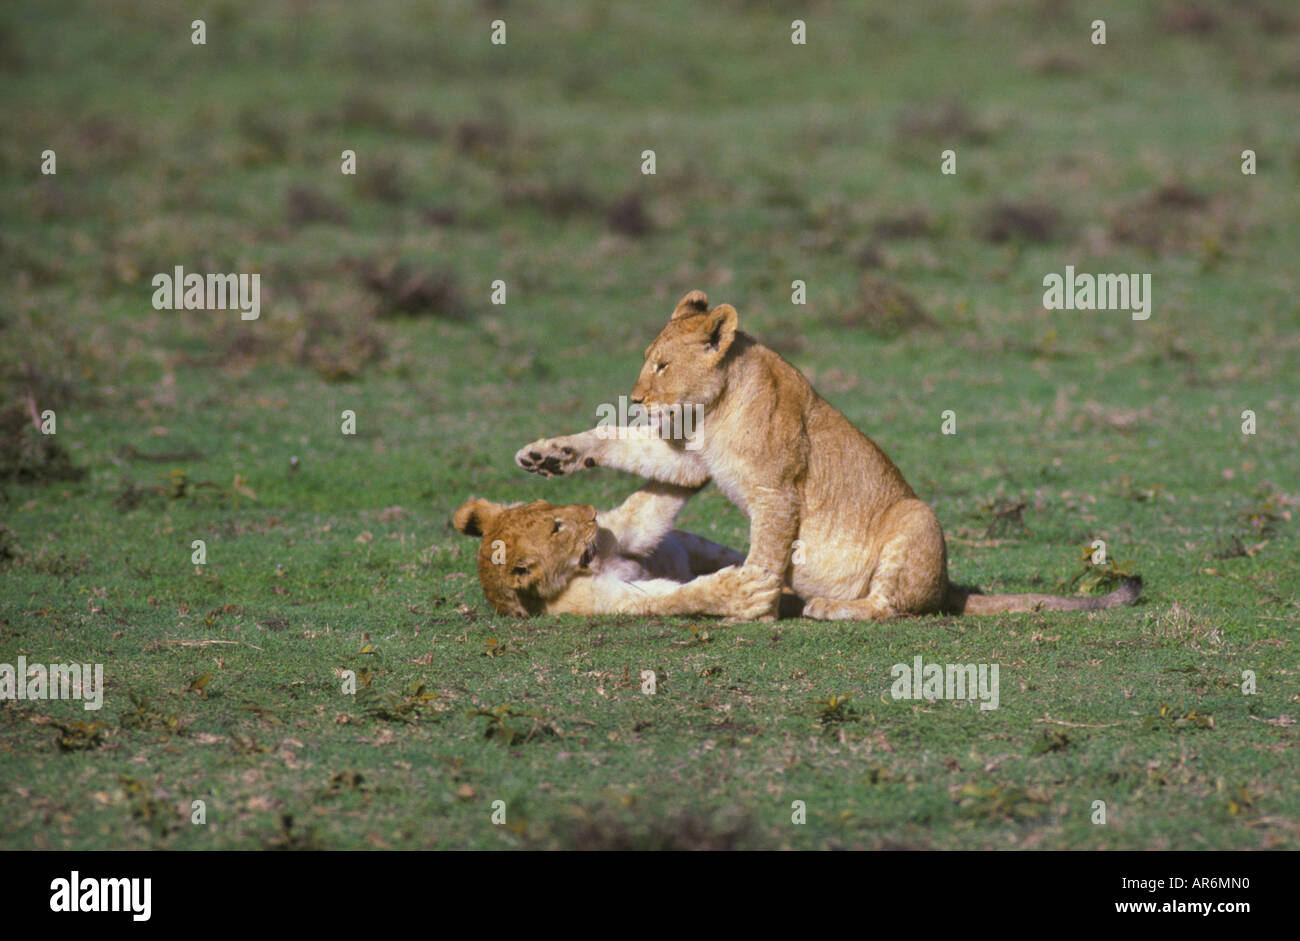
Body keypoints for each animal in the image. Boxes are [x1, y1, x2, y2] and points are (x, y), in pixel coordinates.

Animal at [452, 481, 783, 618]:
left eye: (545, 503)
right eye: (556, 527)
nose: (591, 511)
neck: (591, 563)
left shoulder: (617, 530)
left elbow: (647, 506)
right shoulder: (605, 599)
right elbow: (676, 597)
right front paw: (745, 593)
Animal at [515, 289, 1141, 620]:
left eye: (663, 365)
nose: (641, 399)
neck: (714, 408)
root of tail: (949, 586)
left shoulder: (777, 489)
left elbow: (768, 549)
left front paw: (751, 602)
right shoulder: (690, 459)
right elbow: (619, 441)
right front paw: (550, 454)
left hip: (916, 517)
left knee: (891, 605)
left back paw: (832, 607)